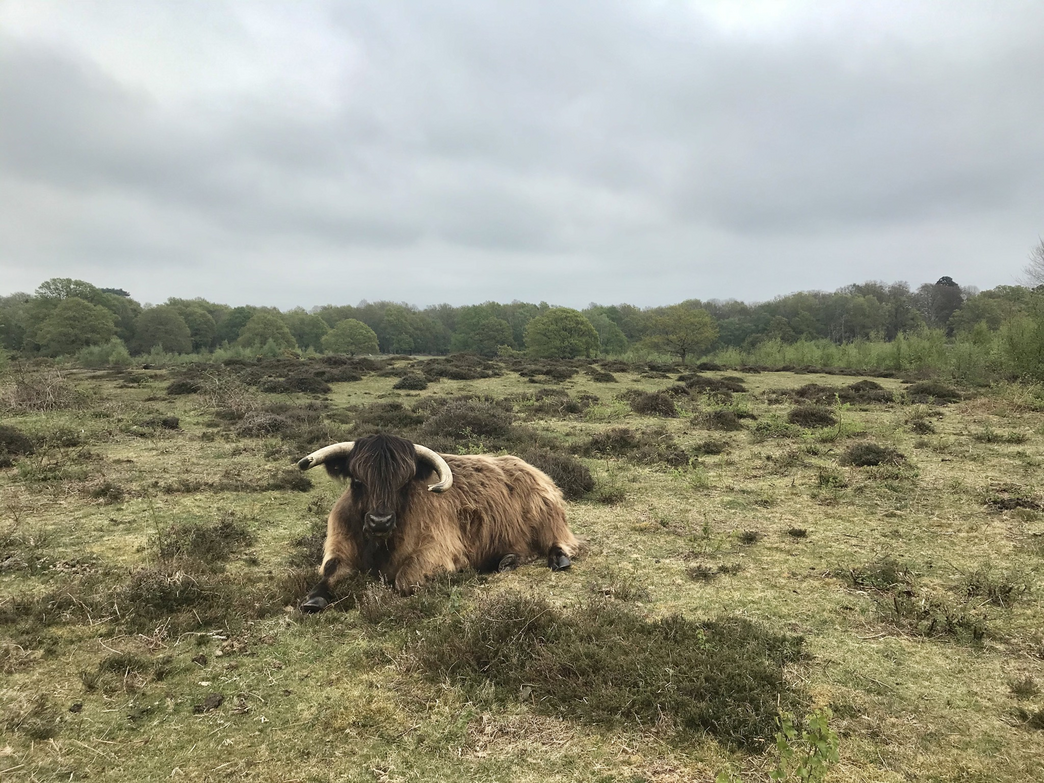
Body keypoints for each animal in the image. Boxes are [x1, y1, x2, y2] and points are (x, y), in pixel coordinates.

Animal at [296, 433, 578, 612]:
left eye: (404, 483)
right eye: (357, 481)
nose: (380, 521)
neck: (379, 546)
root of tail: (531, 468)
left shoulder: (439, 549)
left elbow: (404, 580)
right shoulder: (339, 543)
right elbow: (330, 569)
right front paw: (313, 600)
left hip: (546, 516)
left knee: (558, 542)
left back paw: (559, 559)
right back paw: (506, 560)